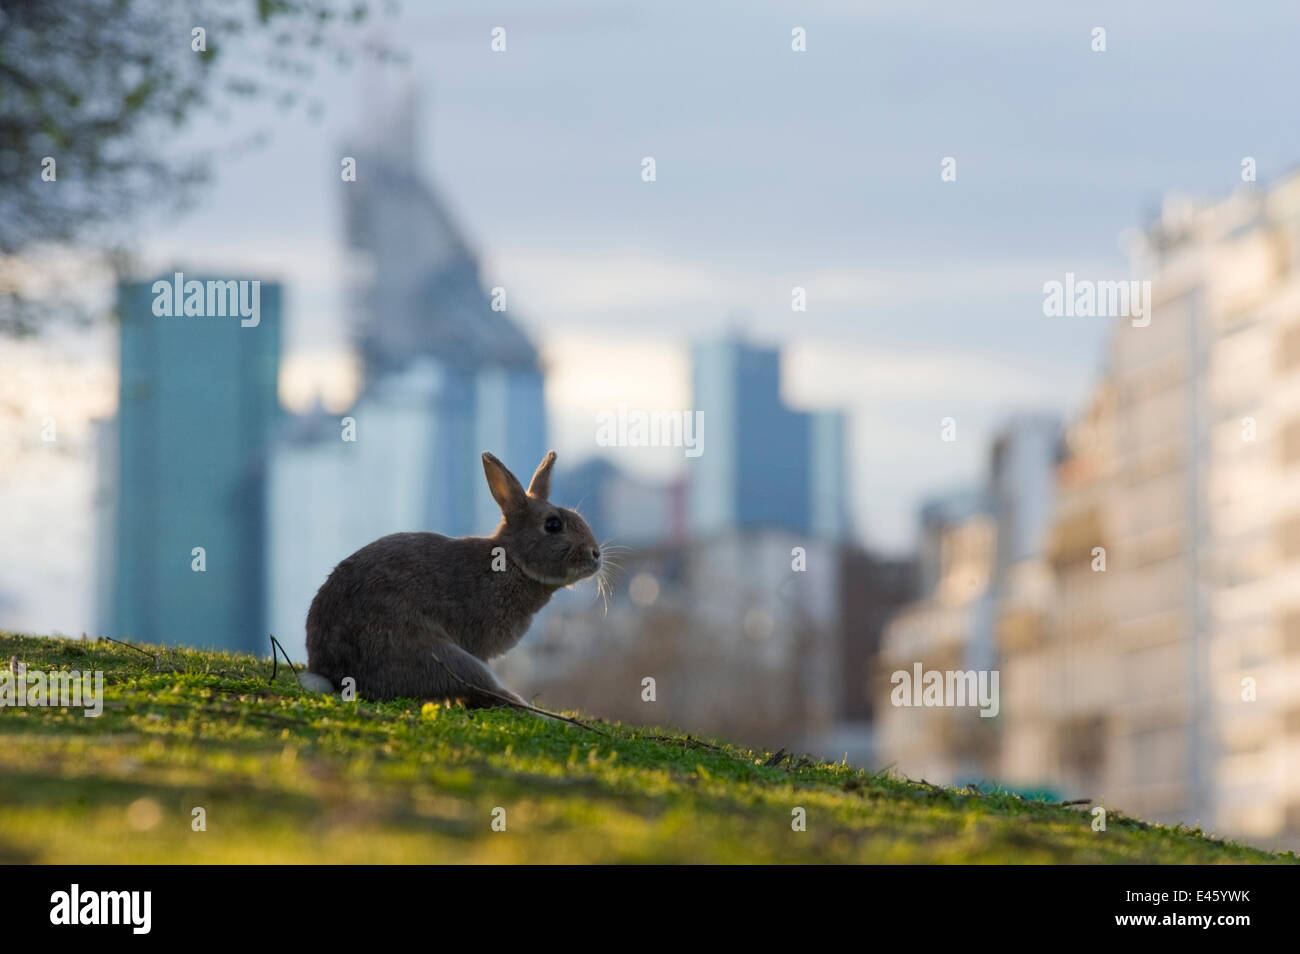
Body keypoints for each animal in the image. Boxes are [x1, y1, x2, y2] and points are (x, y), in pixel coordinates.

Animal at [301, 450, 601, 707]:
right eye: (553, 525)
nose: (596, 555)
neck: (512, 562)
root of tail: (333, 674)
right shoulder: (477, 647)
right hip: (447, 658)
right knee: (486, 691)